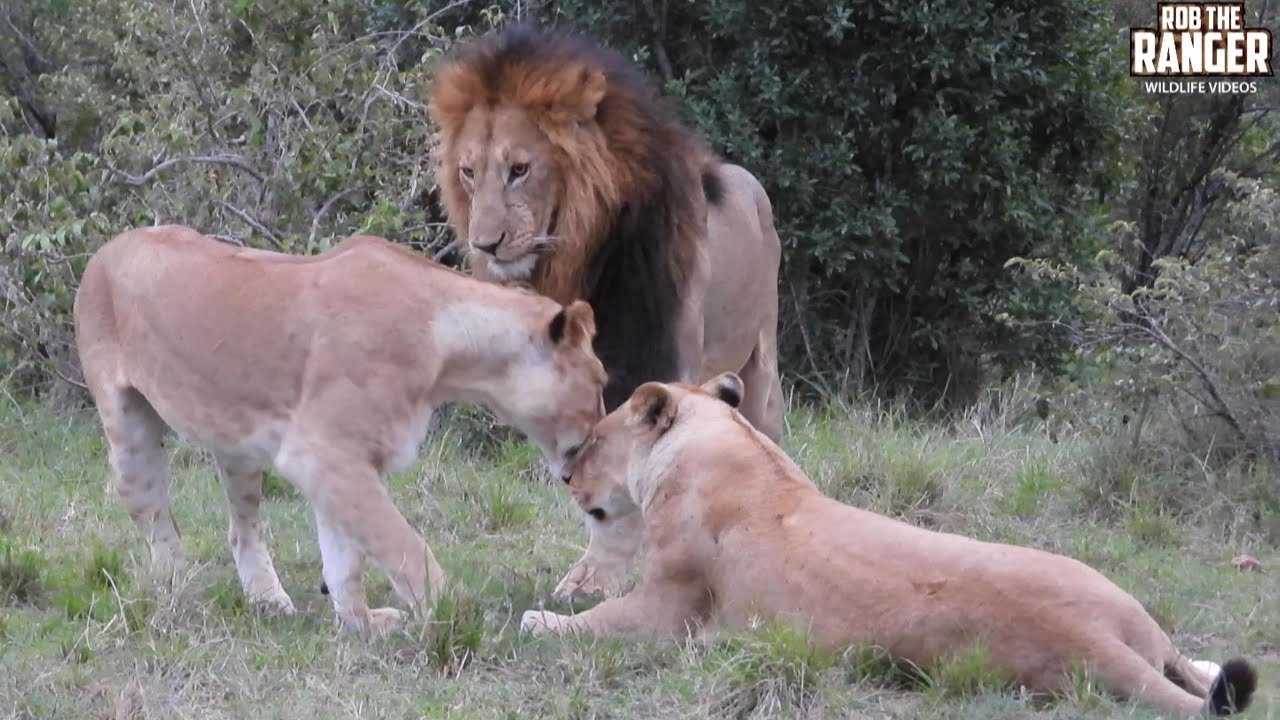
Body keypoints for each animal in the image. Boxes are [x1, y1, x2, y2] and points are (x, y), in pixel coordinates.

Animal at [74, 225, 607, 632]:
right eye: (600, 382)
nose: (597, 440)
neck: (452, 350)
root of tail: (111, 245)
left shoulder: (341, 460)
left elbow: (345, 555)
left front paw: (361, 623)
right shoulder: (322, 451)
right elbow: (401, 544)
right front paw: (456, 613)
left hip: (238, 447)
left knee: (242, 529)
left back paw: (268, 599)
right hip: (130, 435)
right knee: (158, 525)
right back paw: (173, 595)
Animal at [521, 376, 1260, 716]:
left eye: (591, 441)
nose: (565, 476)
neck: (725, 442)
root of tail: (1094, 636)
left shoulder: (669, 612)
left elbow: (588, 623)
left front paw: (538, 618)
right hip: (1128, 611)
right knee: (1189, 667)